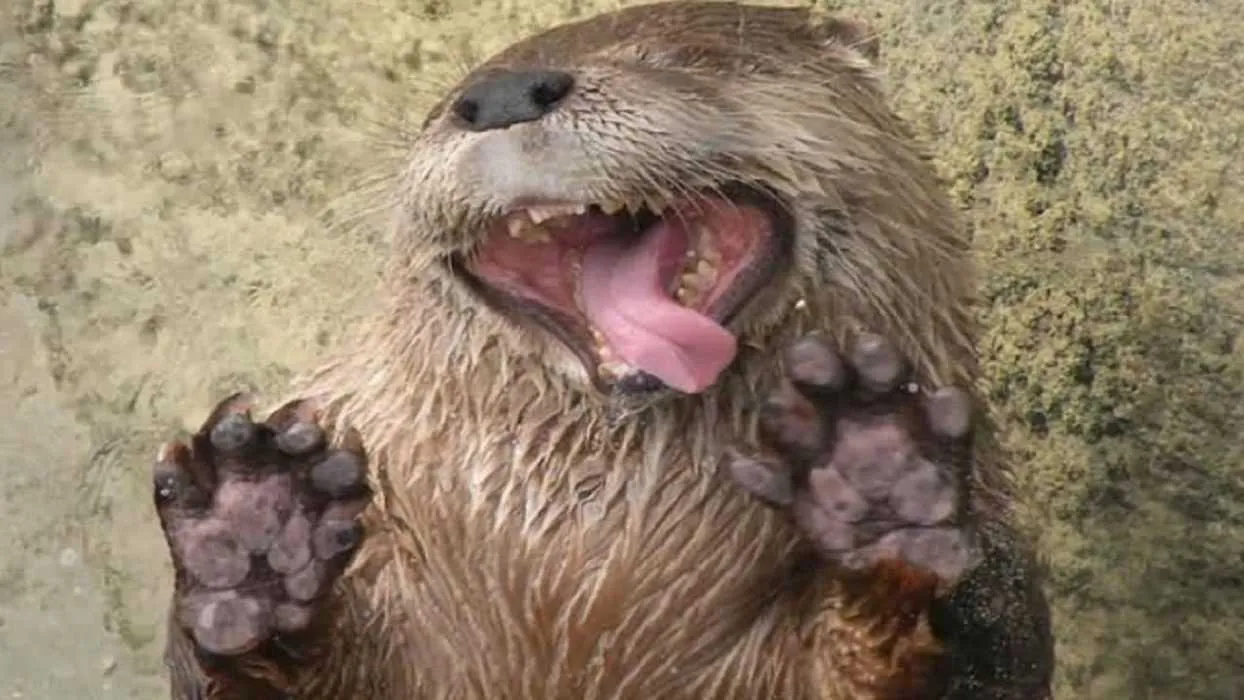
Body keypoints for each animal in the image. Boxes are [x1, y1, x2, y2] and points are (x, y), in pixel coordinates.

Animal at [151, 2, 1053, 698]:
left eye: (691, 59)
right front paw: (256, 531)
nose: (501, 94)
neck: (580, 566)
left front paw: (876, 473)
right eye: (445, 102)